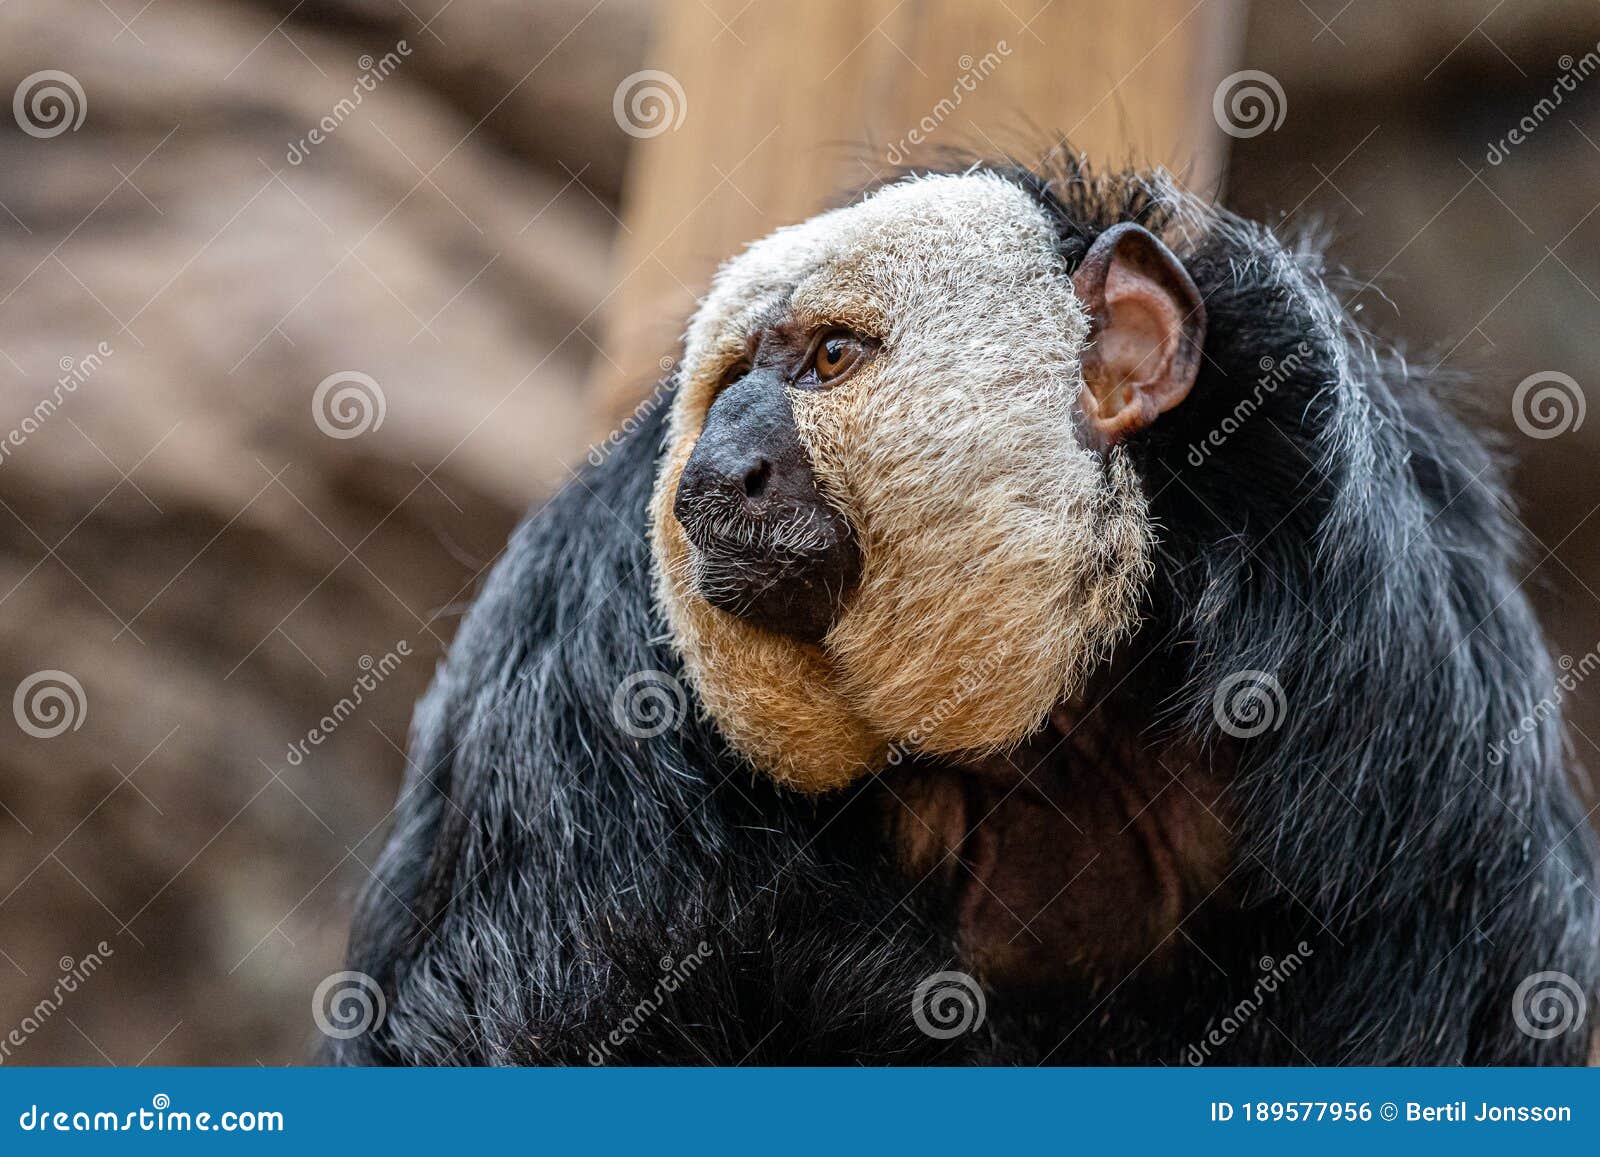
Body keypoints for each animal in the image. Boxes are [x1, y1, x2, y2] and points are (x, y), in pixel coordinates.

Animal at [333, 150, 1600, 1066]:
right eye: (729, 382)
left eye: (829, 356)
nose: (716, 474)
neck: (1073, 709)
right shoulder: (586, 658)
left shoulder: (1411, 694)